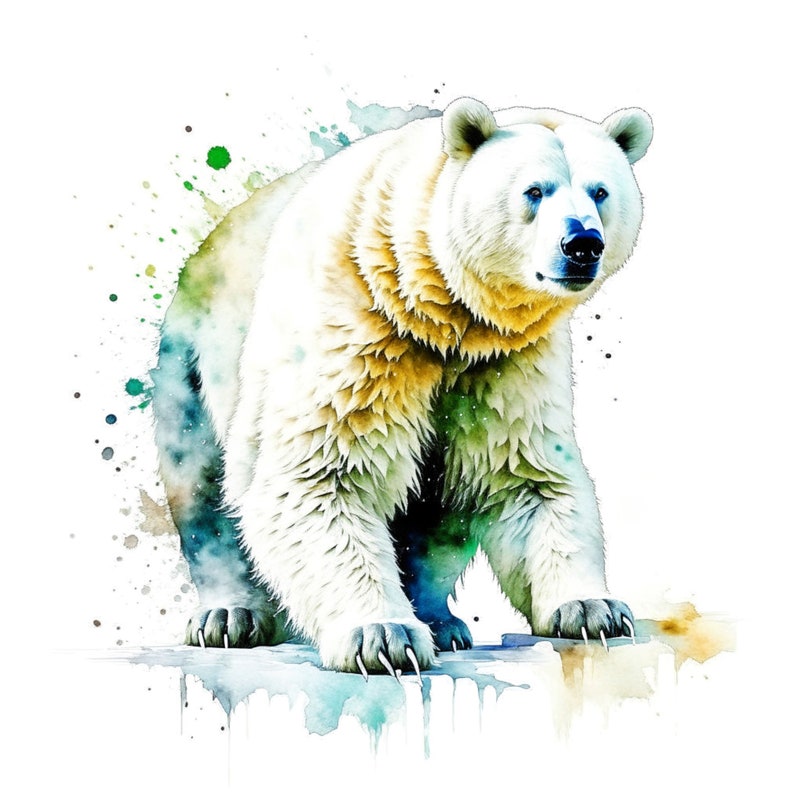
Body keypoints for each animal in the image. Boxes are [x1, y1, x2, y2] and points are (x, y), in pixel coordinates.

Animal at [152, 97, 653, 676]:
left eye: (600, 191)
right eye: (535, 190)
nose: (582, 244)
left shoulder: (504, 362)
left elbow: (526, 474)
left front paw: (594, 608)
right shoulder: (357, 326)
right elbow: (320, 474)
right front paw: (382, 635)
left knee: (439, 517)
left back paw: (442, 620)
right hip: (193, 360)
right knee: (204, 489)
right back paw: (230, 615)